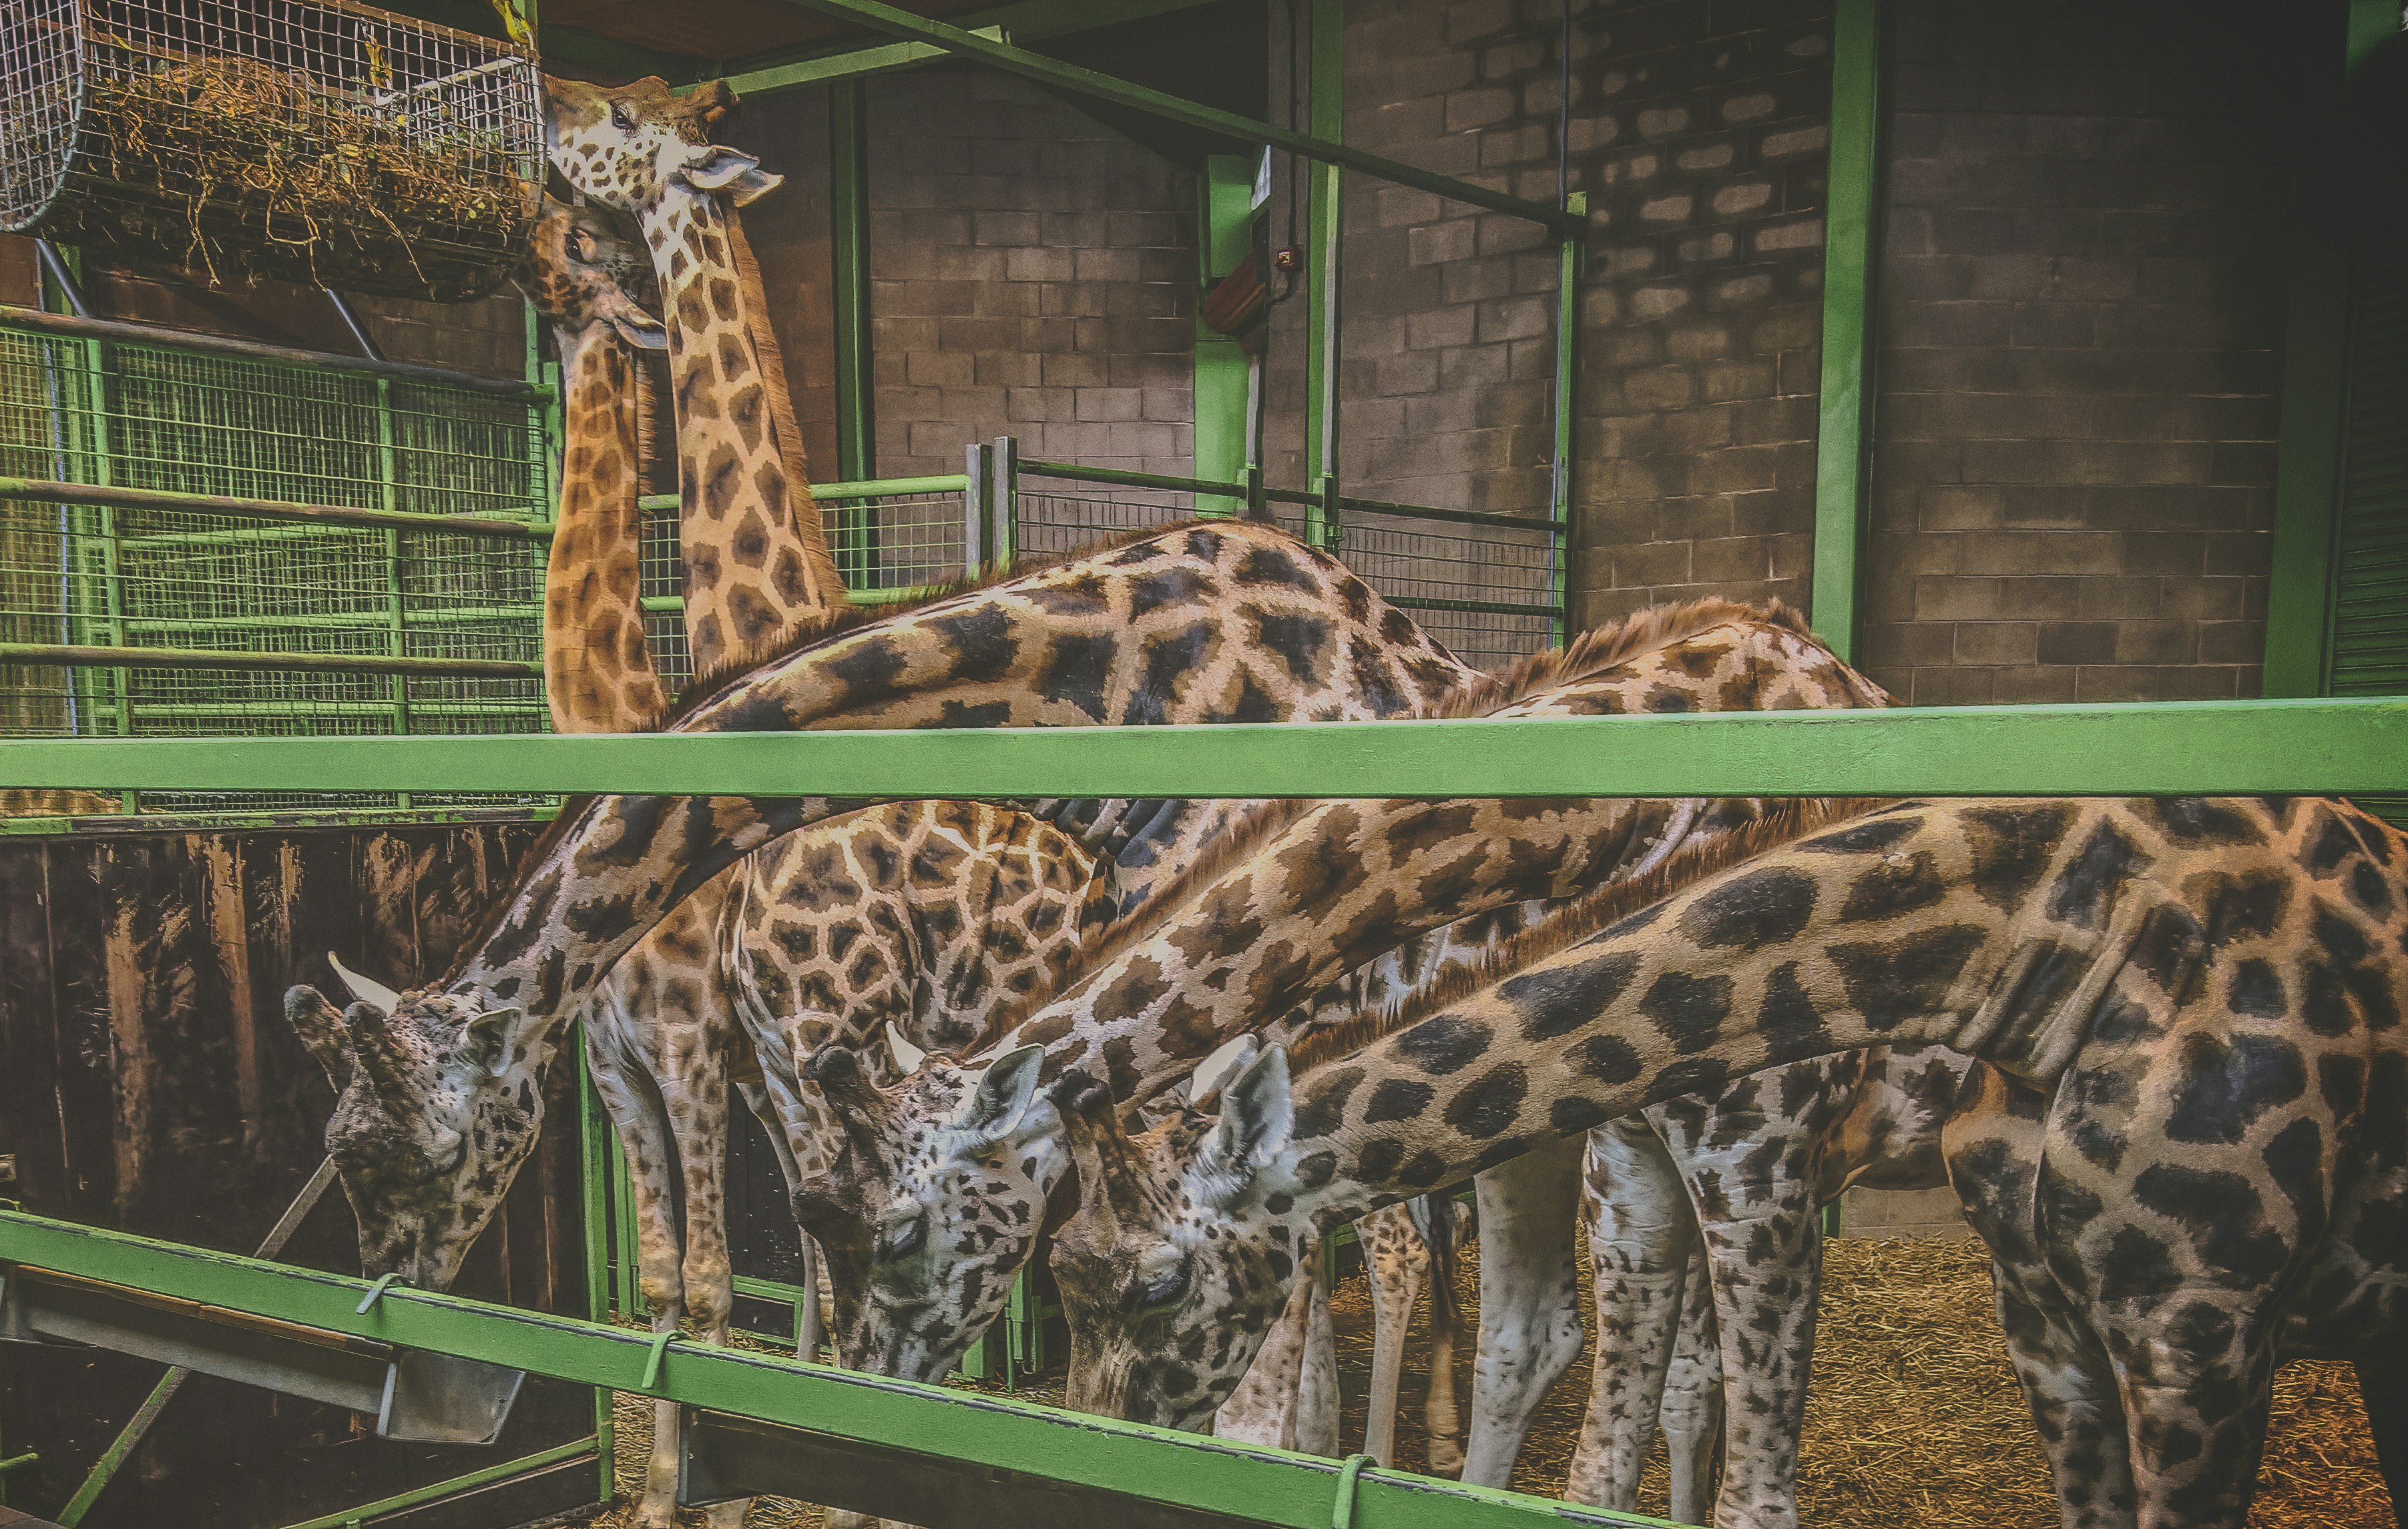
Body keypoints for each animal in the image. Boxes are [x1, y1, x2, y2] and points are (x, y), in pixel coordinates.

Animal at [1041, 792, 2408, 1529]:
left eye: (1153, 1283)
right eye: (1060, 1271)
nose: (1088, 1440)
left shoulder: (2189, 1322)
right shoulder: (1644, 1172)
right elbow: (1603, 1446)